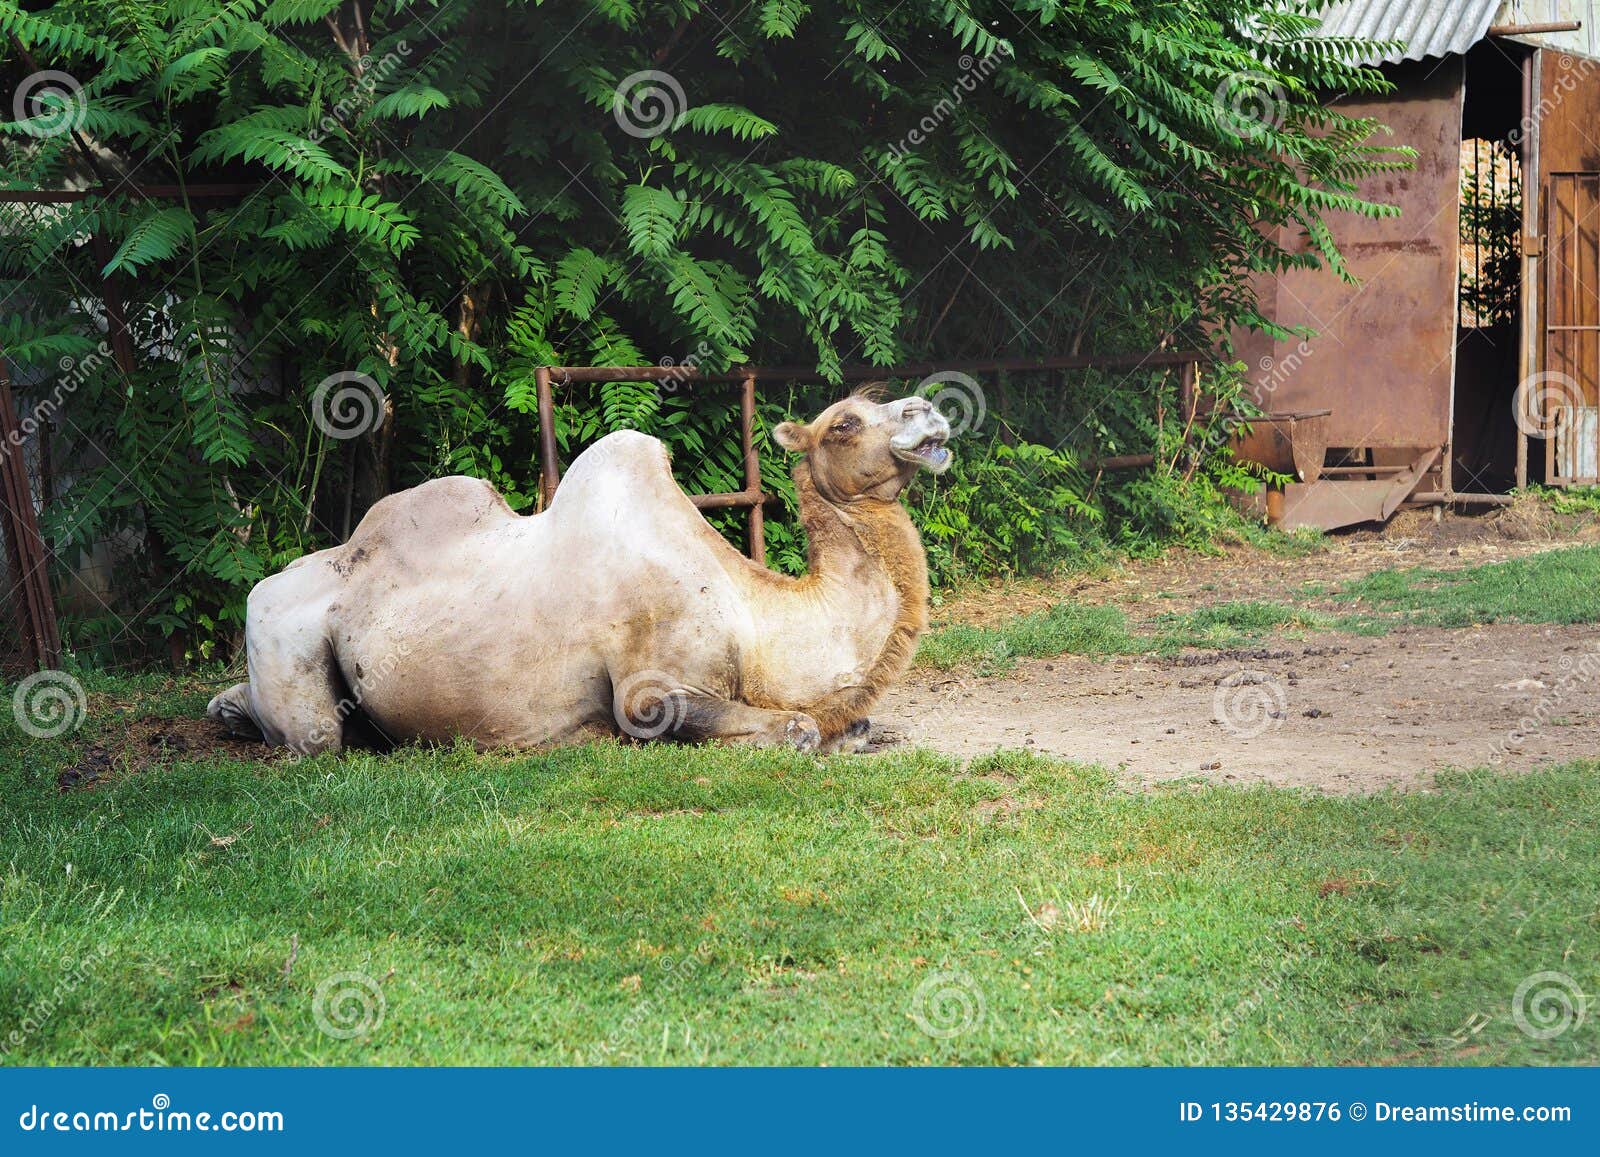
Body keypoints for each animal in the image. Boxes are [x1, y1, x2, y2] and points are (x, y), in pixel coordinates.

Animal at [207, 390, 952, 754]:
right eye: (845, 422)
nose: (928, 409)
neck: (757, 620)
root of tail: (263, 585)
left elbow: (849, 720)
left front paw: (859, 729)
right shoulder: (646, 689)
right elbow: (793, 726)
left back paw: (226, 709)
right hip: (289, 647)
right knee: (316, 736)